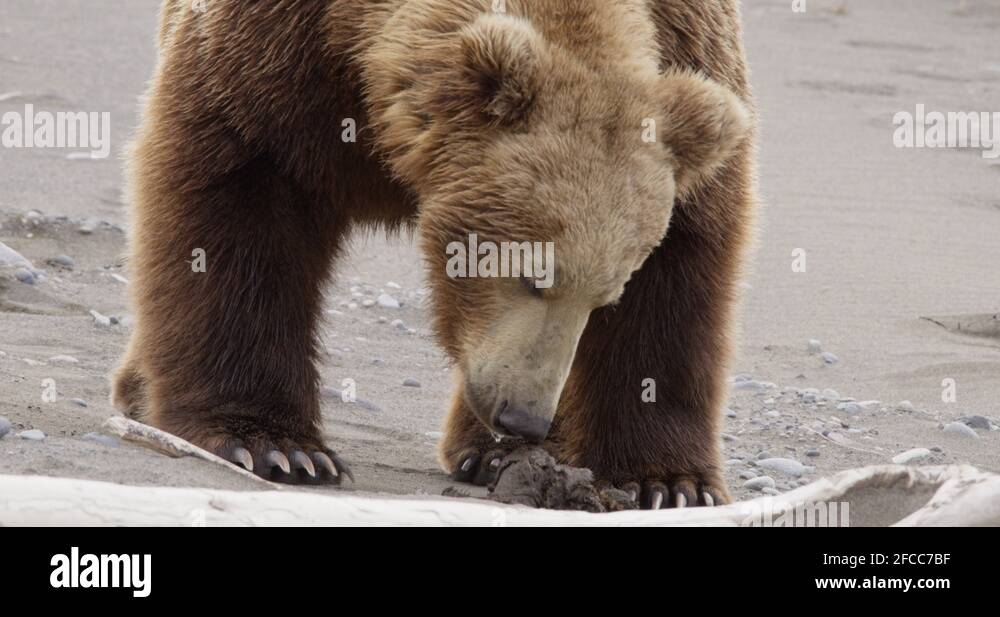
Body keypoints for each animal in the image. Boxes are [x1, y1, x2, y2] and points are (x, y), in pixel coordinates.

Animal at [112, 0, 756, 509]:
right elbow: (239, 198)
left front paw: (668, 483)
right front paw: (274, 446)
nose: (523, 417)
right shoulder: (277, 58)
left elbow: (681, 276)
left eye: (605, 297)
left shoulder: (691, 55)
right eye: (532, 274)